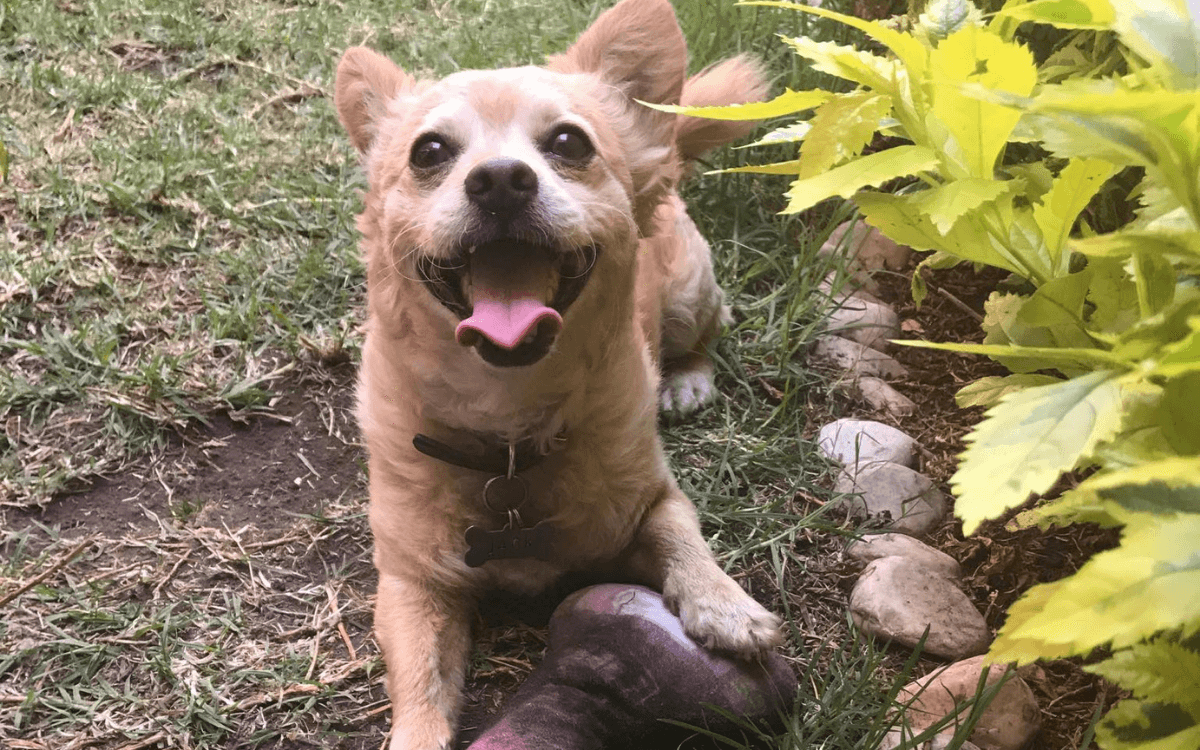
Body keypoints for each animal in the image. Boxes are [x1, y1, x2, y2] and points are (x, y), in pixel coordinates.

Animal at [333, 2, 777, 744]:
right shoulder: (411, 583)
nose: (499, 179)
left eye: (569, 142)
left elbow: (682, 537)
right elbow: (421, 685)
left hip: (690, 291)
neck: (508, 426)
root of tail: (666, 149)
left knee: (705, 335)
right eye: (430, 152)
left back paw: (686, 379)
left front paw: (725, 604)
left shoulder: (654, 501)